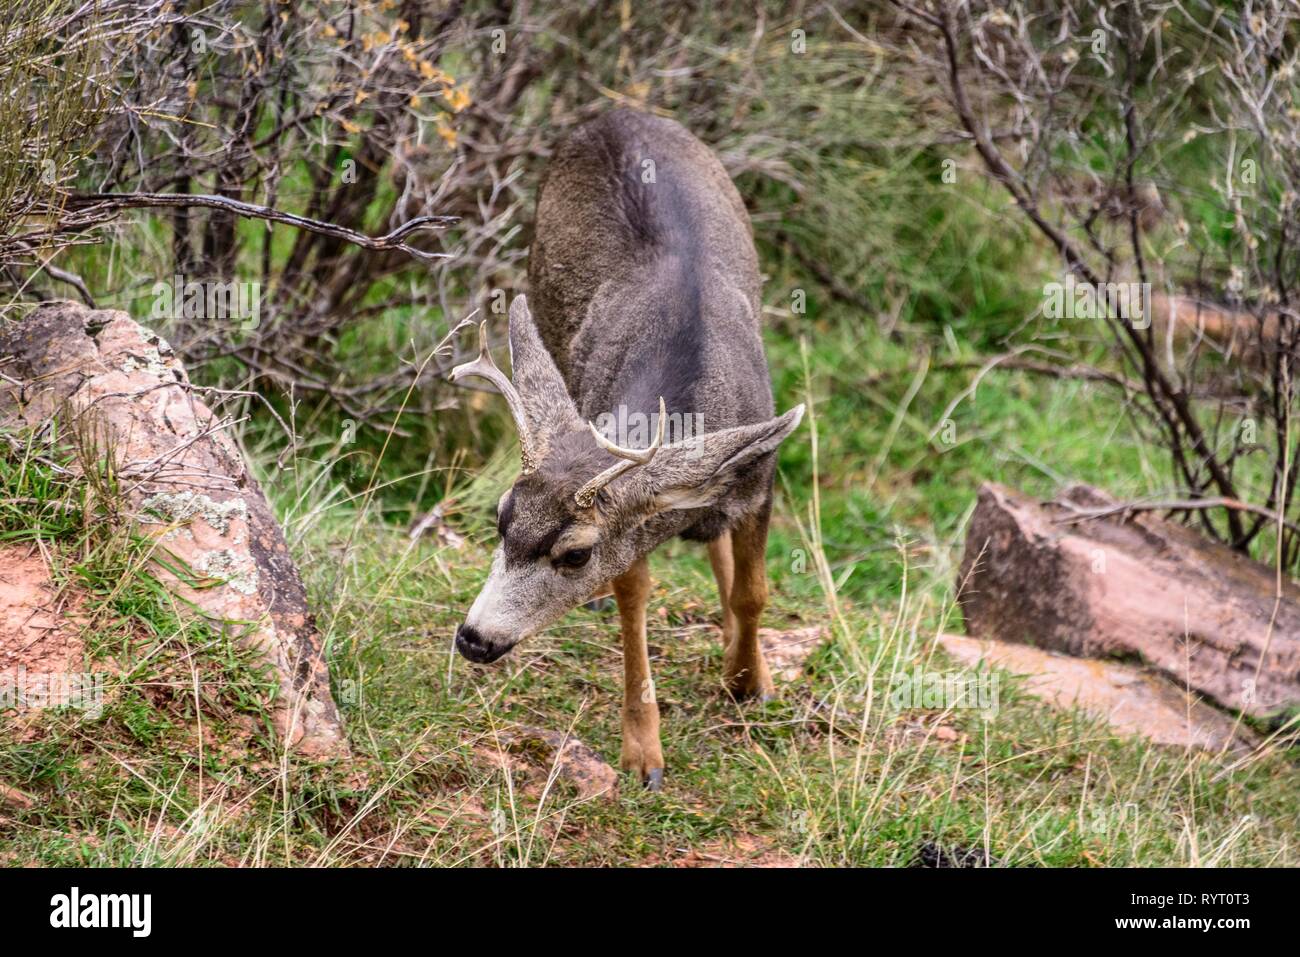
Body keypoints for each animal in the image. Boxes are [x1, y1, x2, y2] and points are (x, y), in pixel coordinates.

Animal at [450, 109, 803, 790]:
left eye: (575, 554)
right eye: (500, 518)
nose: (475, 638)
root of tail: (614, 113)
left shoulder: (760, 480)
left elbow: (753, 592)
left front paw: (748, 680)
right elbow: (634, 606)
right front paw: (644, 755)